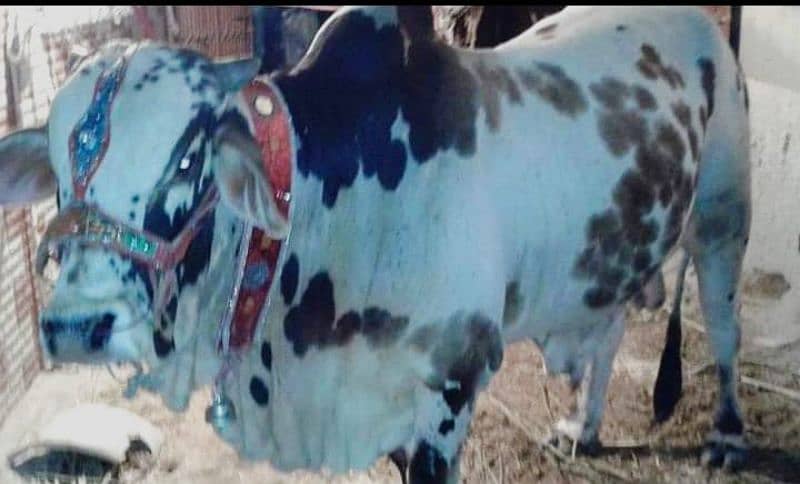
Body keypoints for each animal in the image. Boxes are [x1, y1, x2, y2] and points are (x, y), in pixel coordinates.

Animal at [0, 6, 751, 483]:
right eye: (59, 177)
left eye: (189, 159)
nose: (76, 326)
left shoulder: (452, 382)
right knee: (612, 327)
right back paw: (583, 427)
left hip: (722, 216)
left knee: (723, 326)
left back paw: (726, 436)